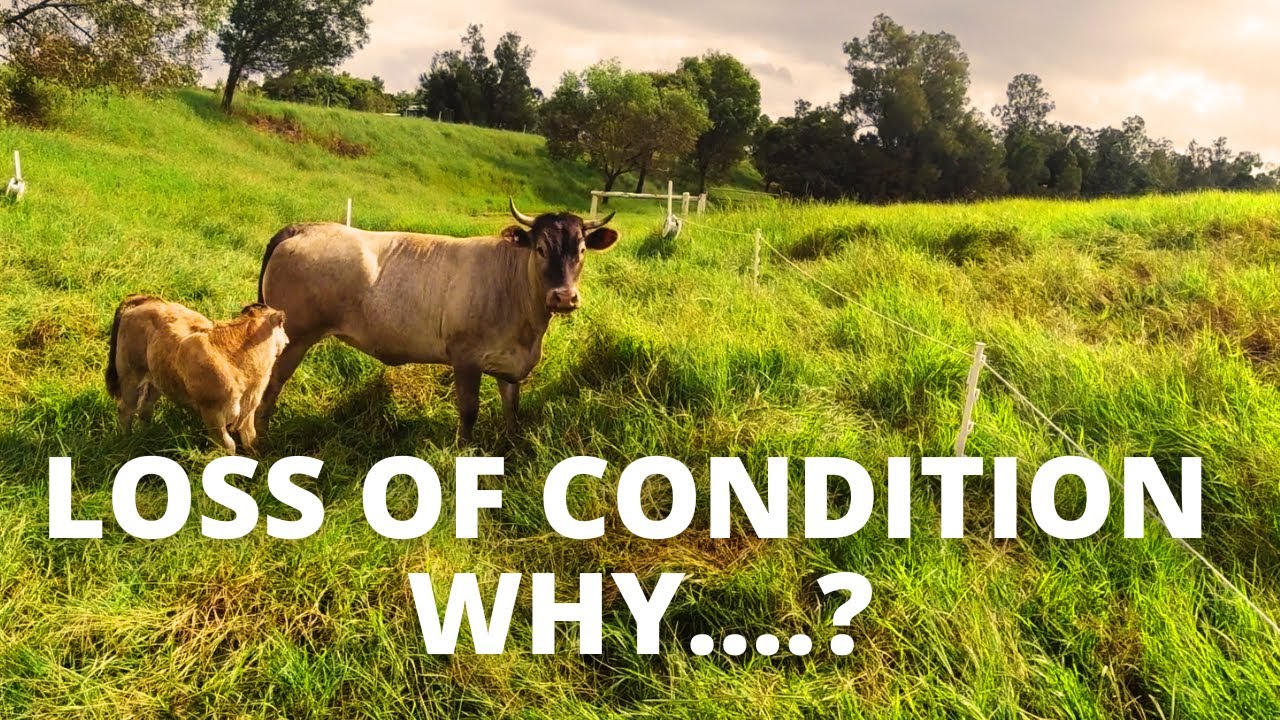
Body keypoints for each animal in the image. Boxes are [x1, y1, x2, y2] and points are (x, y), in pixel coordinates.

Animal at [105, 296, 289, 454]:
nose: (287, 340)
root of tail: (145, 299)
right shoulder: (213, 415)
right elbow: (228, 445)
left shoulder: (248, 410)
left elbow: (251, 439)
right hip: (130, 376)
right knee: (125, 410)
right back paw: (127, 441)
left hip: (156, 380)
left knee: (145, 408)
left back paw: (146, 438)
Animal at [255, 200, 619, 442]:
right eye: (541, 249)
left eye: (582, 250)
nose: (563, 297)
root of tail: (305, 228)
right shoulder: (465, 358)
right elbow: (469, 410)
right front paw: (465, 449)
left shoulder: (511, 363)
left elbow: (512, 407)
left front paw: (512, 445)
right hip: (292, 340)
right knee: (268, 386)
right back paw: (260, 442)